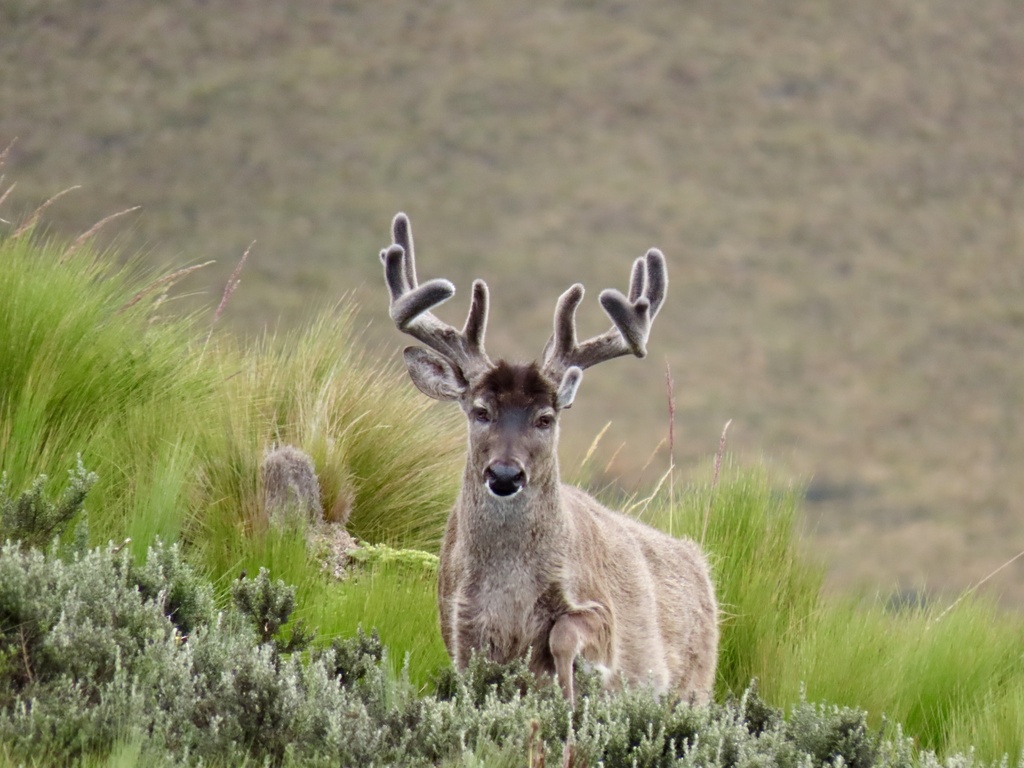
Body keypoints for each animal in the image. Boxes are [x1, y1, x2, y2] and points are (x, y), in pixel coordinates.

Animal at [379, 212, 718, 705]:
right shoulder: (457, 628)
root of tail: (700, 564)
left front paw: (573, 690)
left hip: (698, 683)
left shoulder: (599, 609)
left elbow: (563, 635)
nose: (505, 474)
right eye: (480, 410)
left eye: (545, 417)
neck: (510, 591)